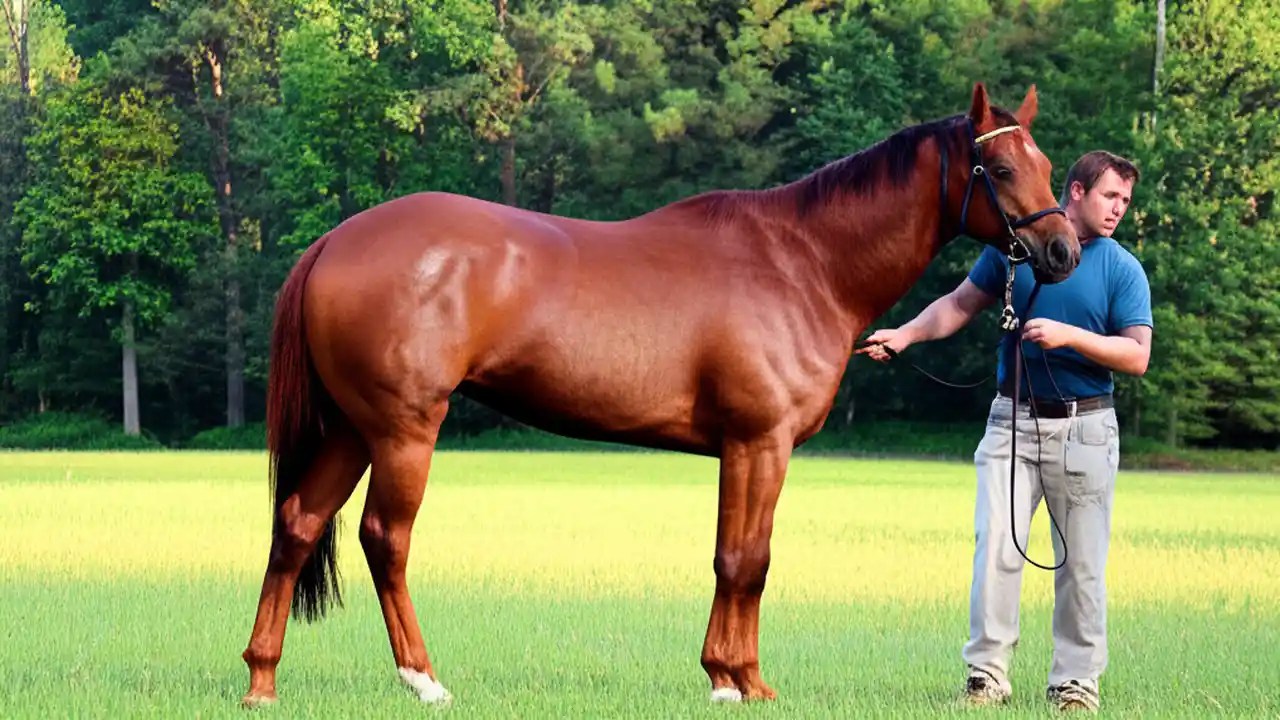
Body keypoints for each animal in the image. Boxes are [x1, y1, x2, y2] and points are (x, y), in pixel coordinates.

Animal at [240, 81, 1079, 706]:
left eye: (1045, 164)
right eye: (1002, 171)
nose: (1064, 250)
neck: (803, 262)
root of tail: (336, 241)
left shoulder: (743, 449)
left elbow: (735, 556)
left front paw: (731, 675)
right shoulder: (760, 442)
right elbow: (747, 560)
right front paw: (739, 682)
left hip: (352, 428)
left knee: (297, 524)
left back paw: (261, 677)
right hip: (403, 429)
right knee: (385, 537)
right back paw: (423, 678)